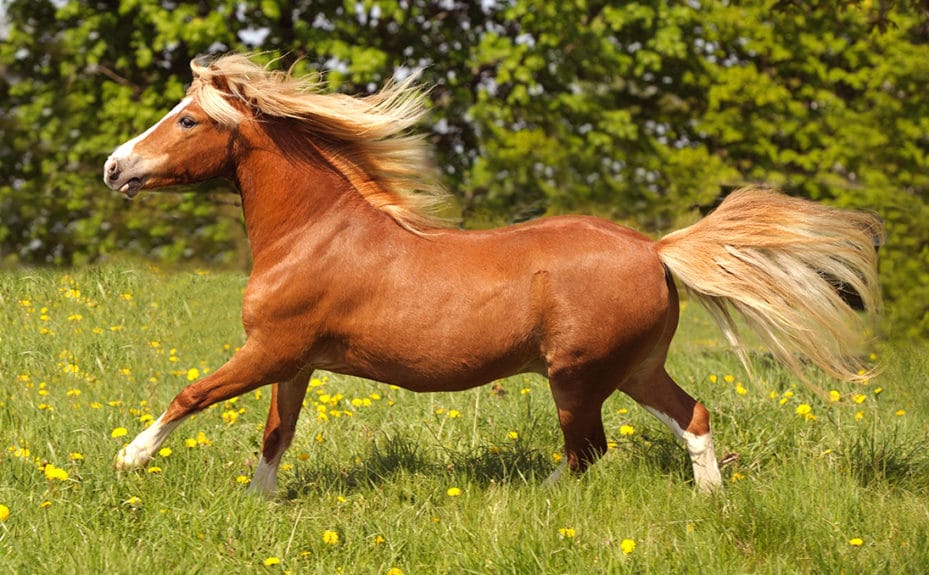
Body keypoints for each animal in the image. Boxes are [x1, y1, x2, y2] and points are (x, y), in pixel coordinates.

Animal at [103, 54, 882, 494]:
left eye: (188, 121)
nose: (114, 167)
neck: (314, 234)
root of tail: (655, 249)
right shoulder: (293, 362)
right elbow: (276, 433)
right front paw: (259, 500)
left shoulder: (271, 349)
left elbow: (192, 394)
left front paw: (129, 459)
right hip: (632, 369)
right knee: (691, 417)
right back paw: (710, 500)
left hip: (577, 377)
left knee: (586, 452)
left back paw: (532, 498)